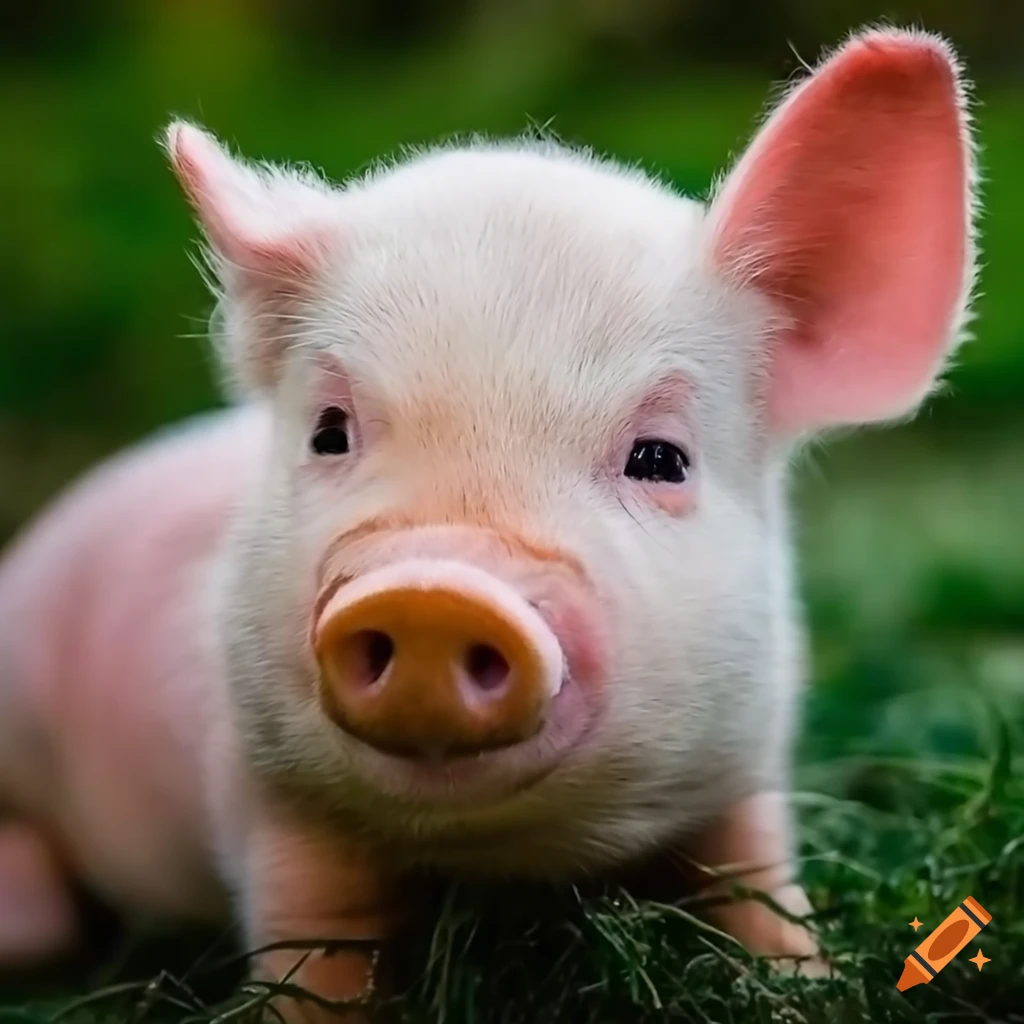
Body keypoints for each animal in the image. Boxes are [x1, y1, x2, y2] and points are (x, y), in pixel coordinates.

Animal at [0, 26, 974, 1021]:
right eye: (329, 431)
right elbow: (316, 946)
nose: (433, 594)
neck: (508, 856)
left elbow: (756, 889)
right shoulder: (269, 795)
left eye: (660, 458)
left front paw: (803, 982)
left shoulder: (744, 765)